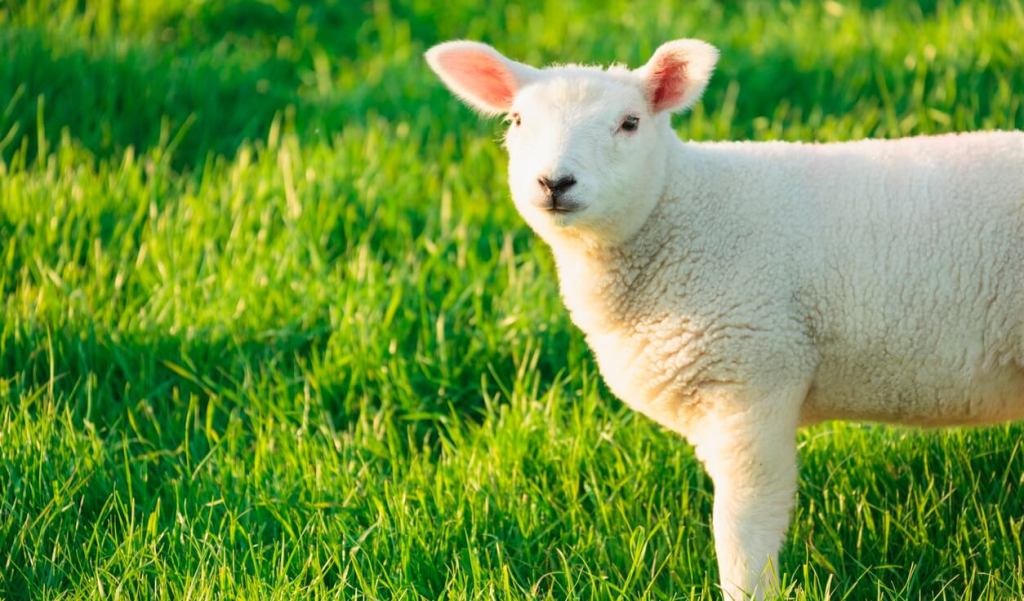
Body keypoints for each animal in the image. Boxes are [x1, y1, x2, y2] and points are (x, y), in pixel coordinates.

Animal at [425, 39, 1024, 600]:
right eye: (517, 121)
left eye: (630, 122)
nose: (555, 183)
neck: (681, 214)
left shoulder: (752, 380)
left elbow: (742, 528)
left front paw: (749, 590)